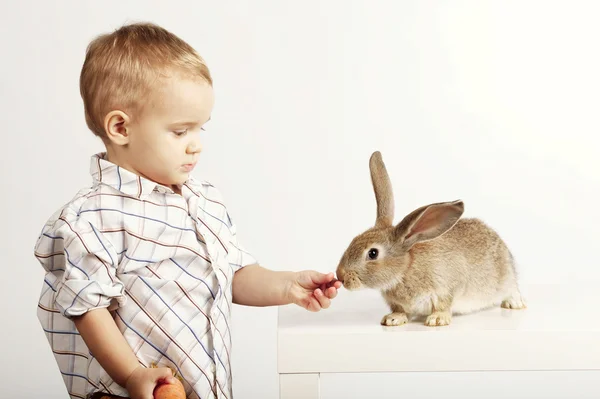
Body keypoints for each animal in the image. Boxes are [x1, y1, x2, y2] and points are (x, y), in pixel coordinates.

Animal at [336, 152, 528, 326]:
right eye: (353, 240)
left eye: (373, 253)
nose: (340, 275)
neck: (404, 270)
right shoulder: (398, 303)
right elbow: (400, 310)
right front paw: (393, 319)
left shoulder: (446, 287)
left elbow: (443, 305)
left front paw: (437, 319)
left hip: (505, 278)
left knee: (512, 288)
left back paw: (514, 303)